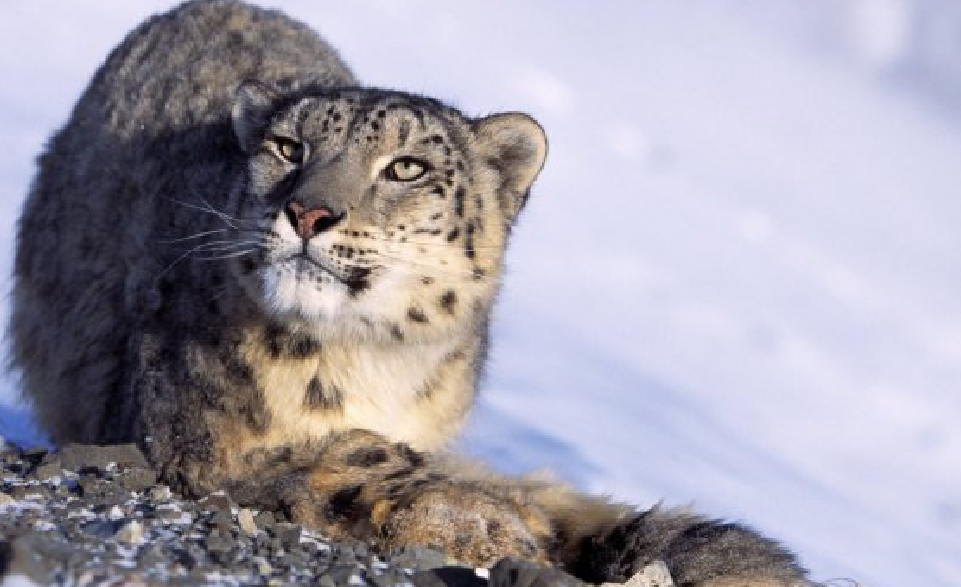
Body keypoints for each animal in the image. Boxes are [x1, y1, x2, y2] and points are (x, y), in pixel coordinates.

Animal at [9, 1, 816, 585]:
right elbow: (357, 460)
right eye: (288, 148)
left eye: (405, 168)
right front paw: (490, 526)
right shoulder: (197, 438)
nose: (307, 211)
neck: (372, 362)